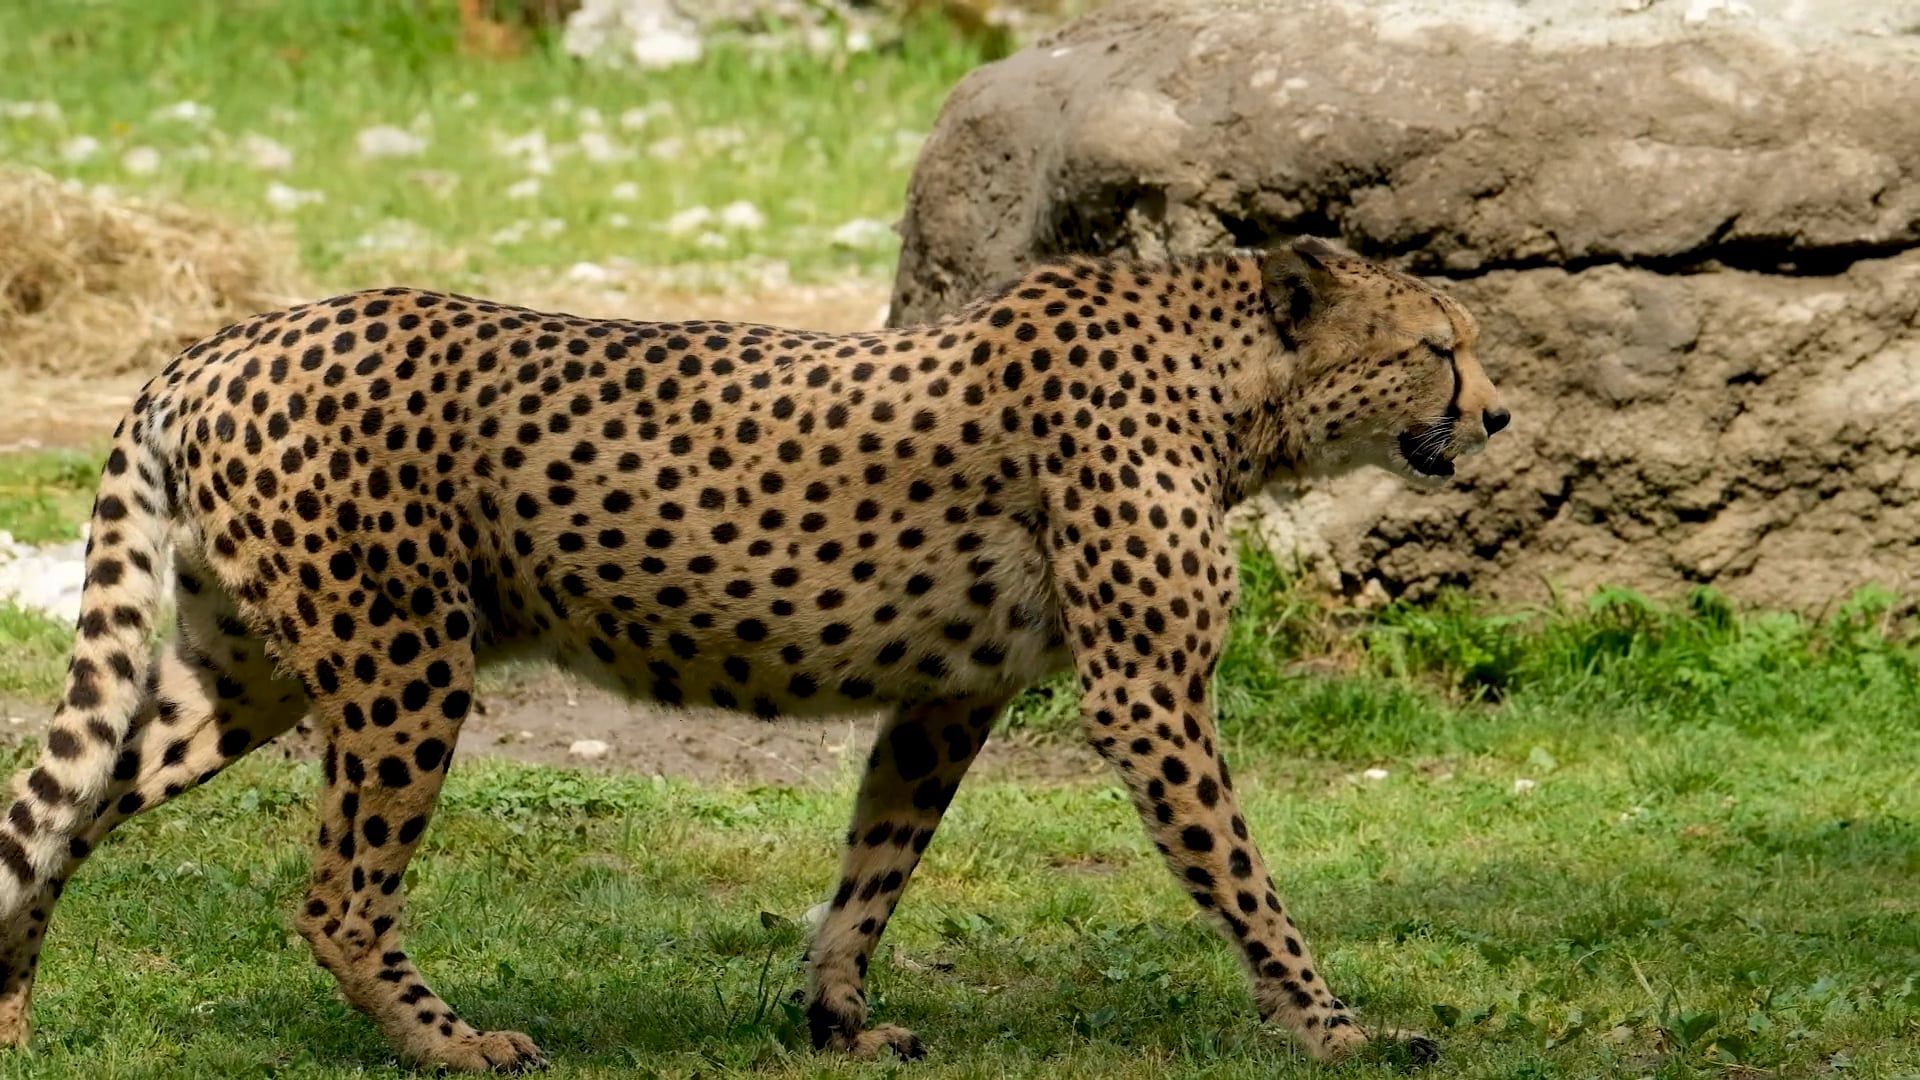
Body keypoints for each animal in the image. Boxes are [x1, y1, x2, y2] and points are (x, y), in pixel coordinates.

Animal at [0, 236, 1506, 1071]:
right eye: (1440, 347)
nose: (1496, 416)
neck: (1230, 384)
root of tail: (221, 344)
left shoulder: (949, 696)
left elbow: (875, 866)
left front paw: (835, 1020)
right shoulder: (1145, 694)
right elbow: (1244, 879)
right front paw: (1337, 1029)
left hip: (244, 664)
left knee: (64, 801)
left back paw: (11, 1014)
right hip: (402, 657)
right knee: (333, 897)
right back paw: (452, 1043)